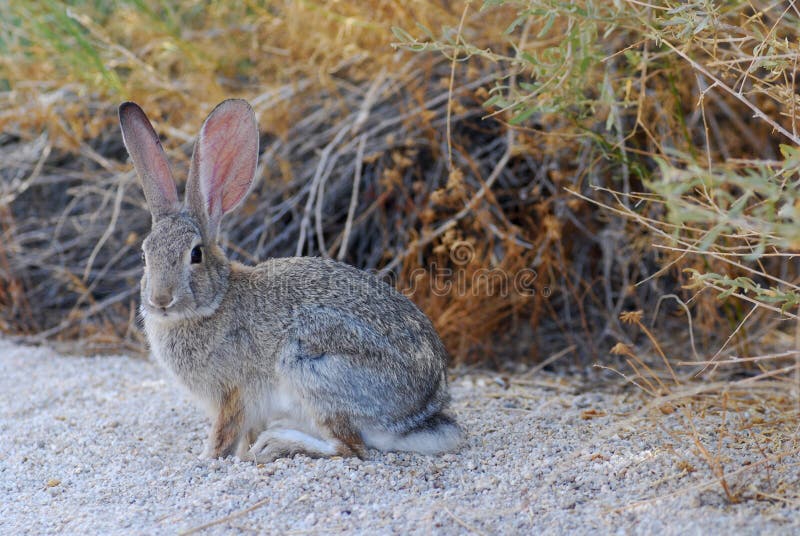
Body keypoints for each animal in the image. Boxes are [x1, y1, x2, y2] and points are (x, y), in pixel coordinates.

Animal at [118, 99, 464, 462]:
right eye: (144, 255)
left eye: (195, 254)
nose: (160, 300)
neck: (214, 302)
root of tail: (418, 416)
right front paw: (240, 453)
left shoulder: (233, 393)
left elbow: (224, 434)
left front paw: (207, 459)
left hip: (311, 366)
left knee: (350, 448)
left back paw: (277, 442)